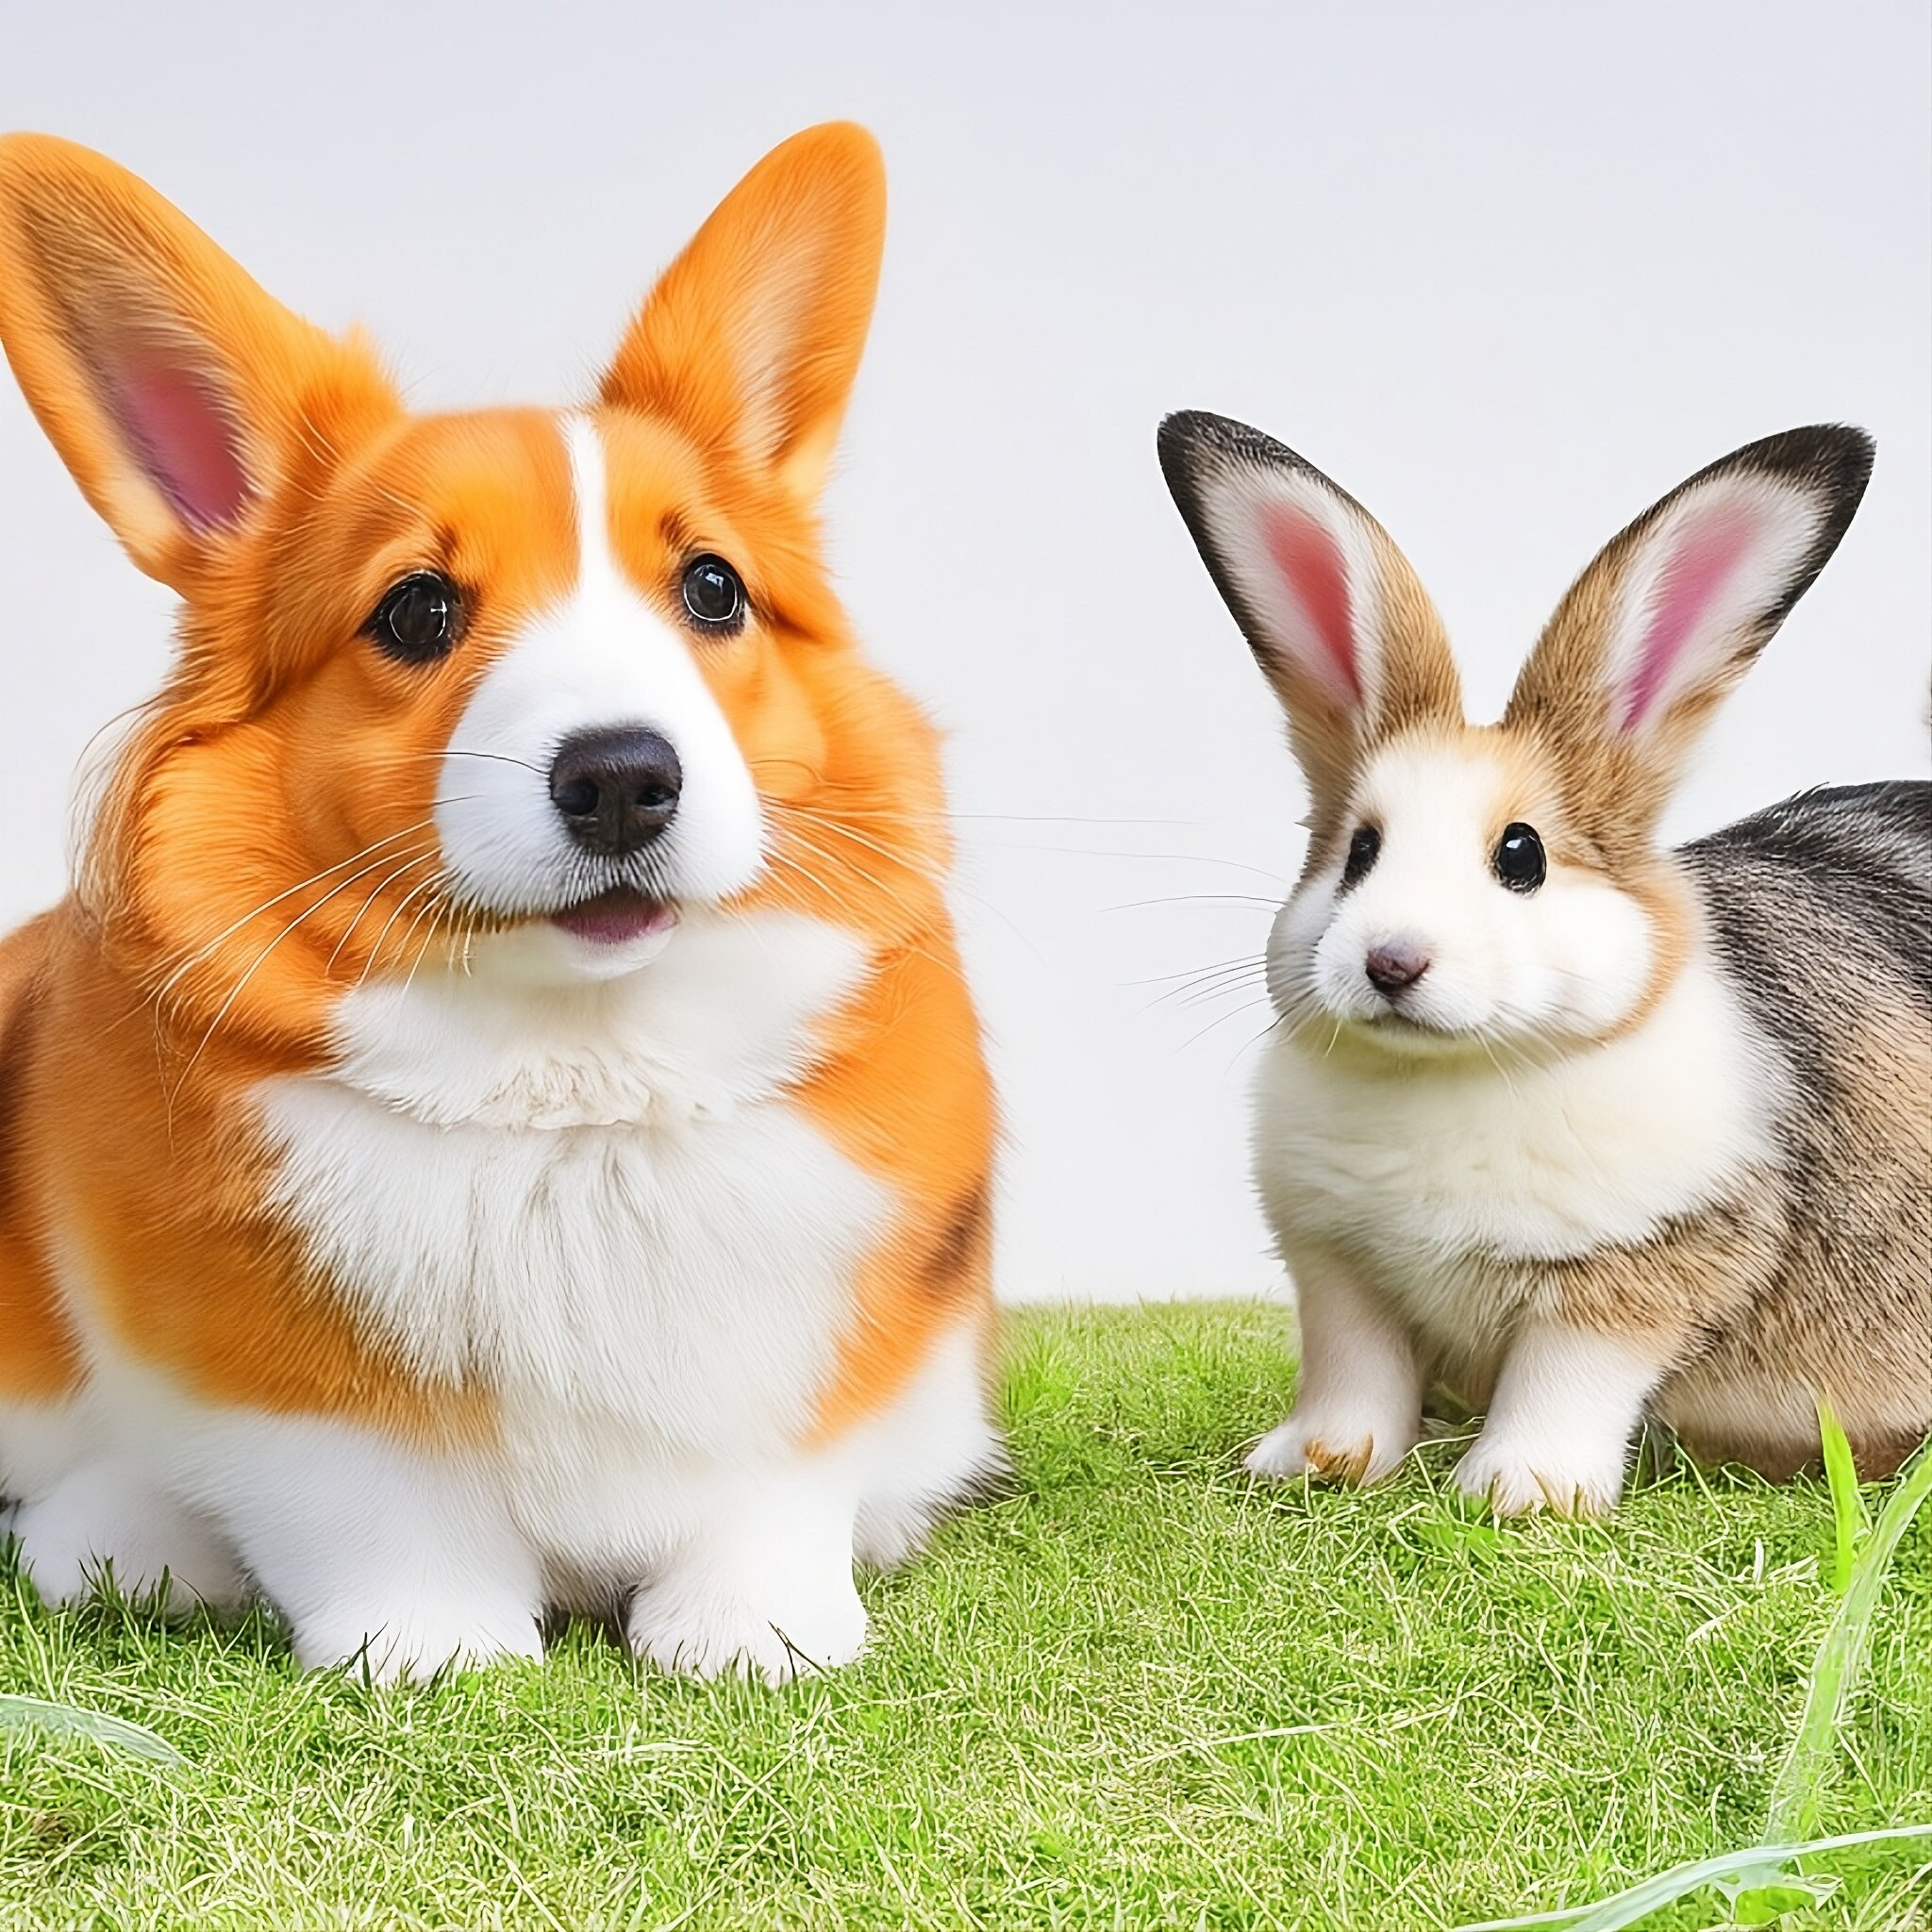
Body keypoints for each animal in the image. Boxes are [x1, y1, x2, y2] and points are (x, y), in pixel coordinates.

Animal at [1157, 411, 1930, 1514]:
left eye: (1520, 854)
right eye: (1359, 850)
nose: (1391, 960)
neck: (1444, 1079)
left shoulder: (1633, 1277)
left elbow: (1563, 1383)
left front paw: (1516, 1492)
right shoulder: (1338, 1271)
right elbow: (1353, 1377)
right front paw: (1309, 1462)